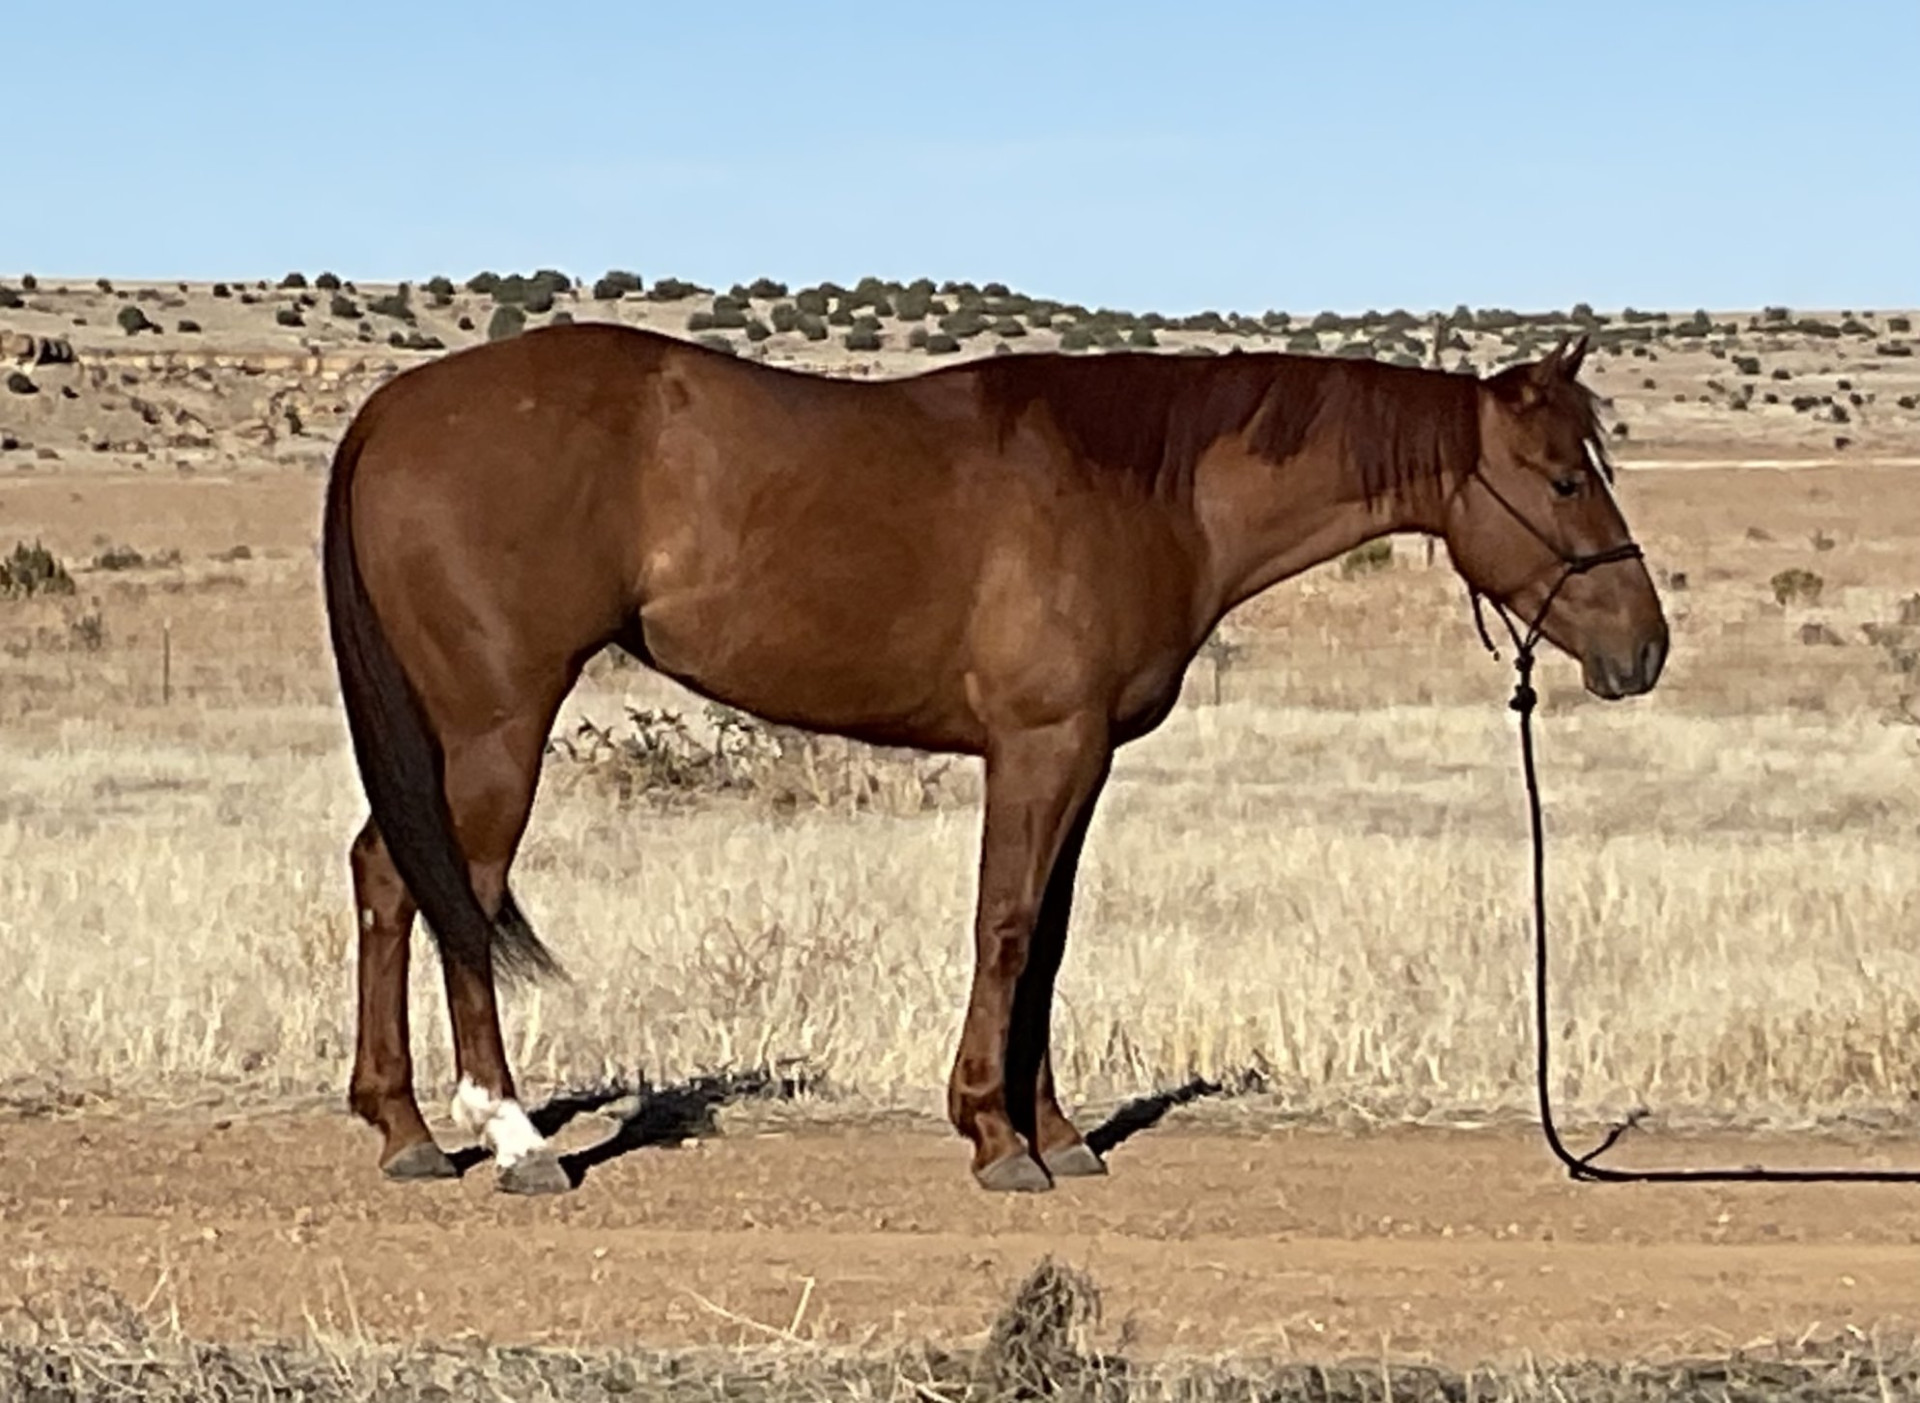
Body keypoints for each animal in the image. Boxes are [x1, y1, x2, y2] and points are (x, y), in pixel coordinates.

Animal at [321, 323, 1667, 1196]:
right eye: (1562, 477)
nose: (1645, 647)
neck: (1150, 490)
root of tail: (390, 408)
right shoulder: (1039, 746)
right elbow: (1008, 927)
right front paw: (995, 1136)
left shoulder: (1084, 758)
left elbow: (1052, 940)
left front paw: (1056, 1127)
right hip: (497, 723)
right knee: (457, 893)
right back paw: (513, 1139)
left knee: (387, 875)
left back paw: (402, 1128)